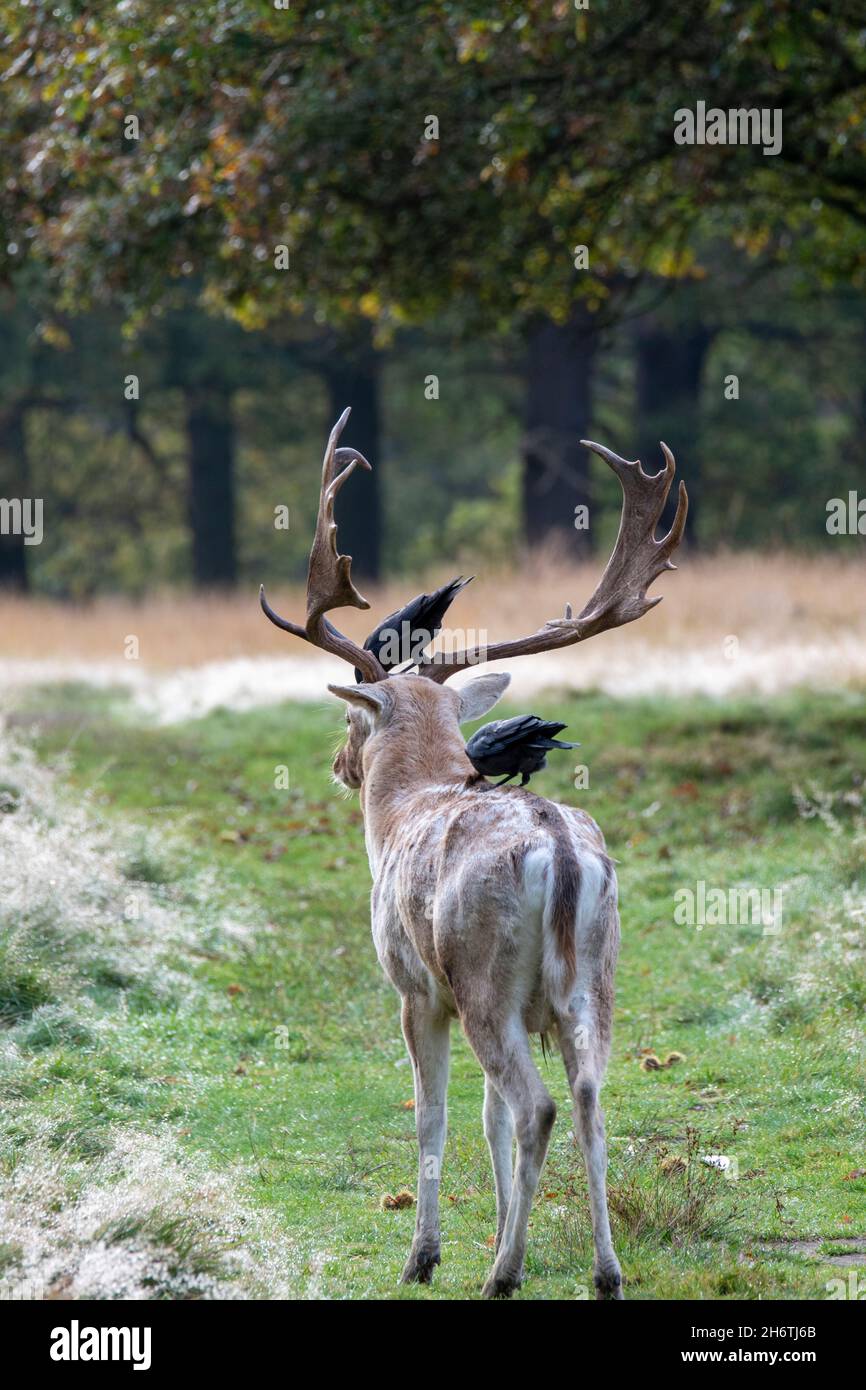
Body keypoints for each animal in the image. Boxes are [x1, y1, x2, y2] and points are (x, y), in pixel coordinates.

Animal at [260, 410, 687, 1299]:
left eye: (352, 718)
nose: (340, 764)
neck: (401, 811)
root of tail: (560, 855)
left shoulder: (416, 986)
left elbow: (437, 1113)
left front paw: (424, 1255)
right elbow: (486, 1119)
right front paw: (493, 1227)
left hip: (483, 976)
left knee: (538, 1105)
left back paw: (504, 1273)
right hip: (596, 978)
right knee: (589, 1096)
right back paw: (602, 1271)